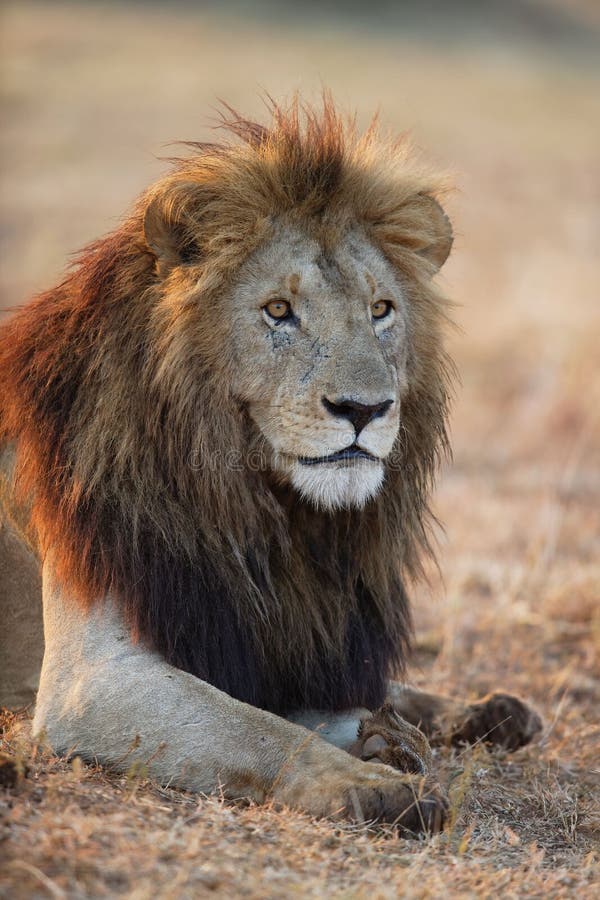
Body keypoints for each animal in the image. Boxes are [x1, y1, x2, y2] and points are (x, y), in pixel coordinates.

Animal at [0, 96, 541, 834]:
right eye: (278, 311)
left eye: (381, 310)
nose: (365, 408)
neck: (267, 509)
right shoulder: (93, 680)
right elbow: (262, 729)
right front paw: (375, 782)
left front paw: (396, 735)